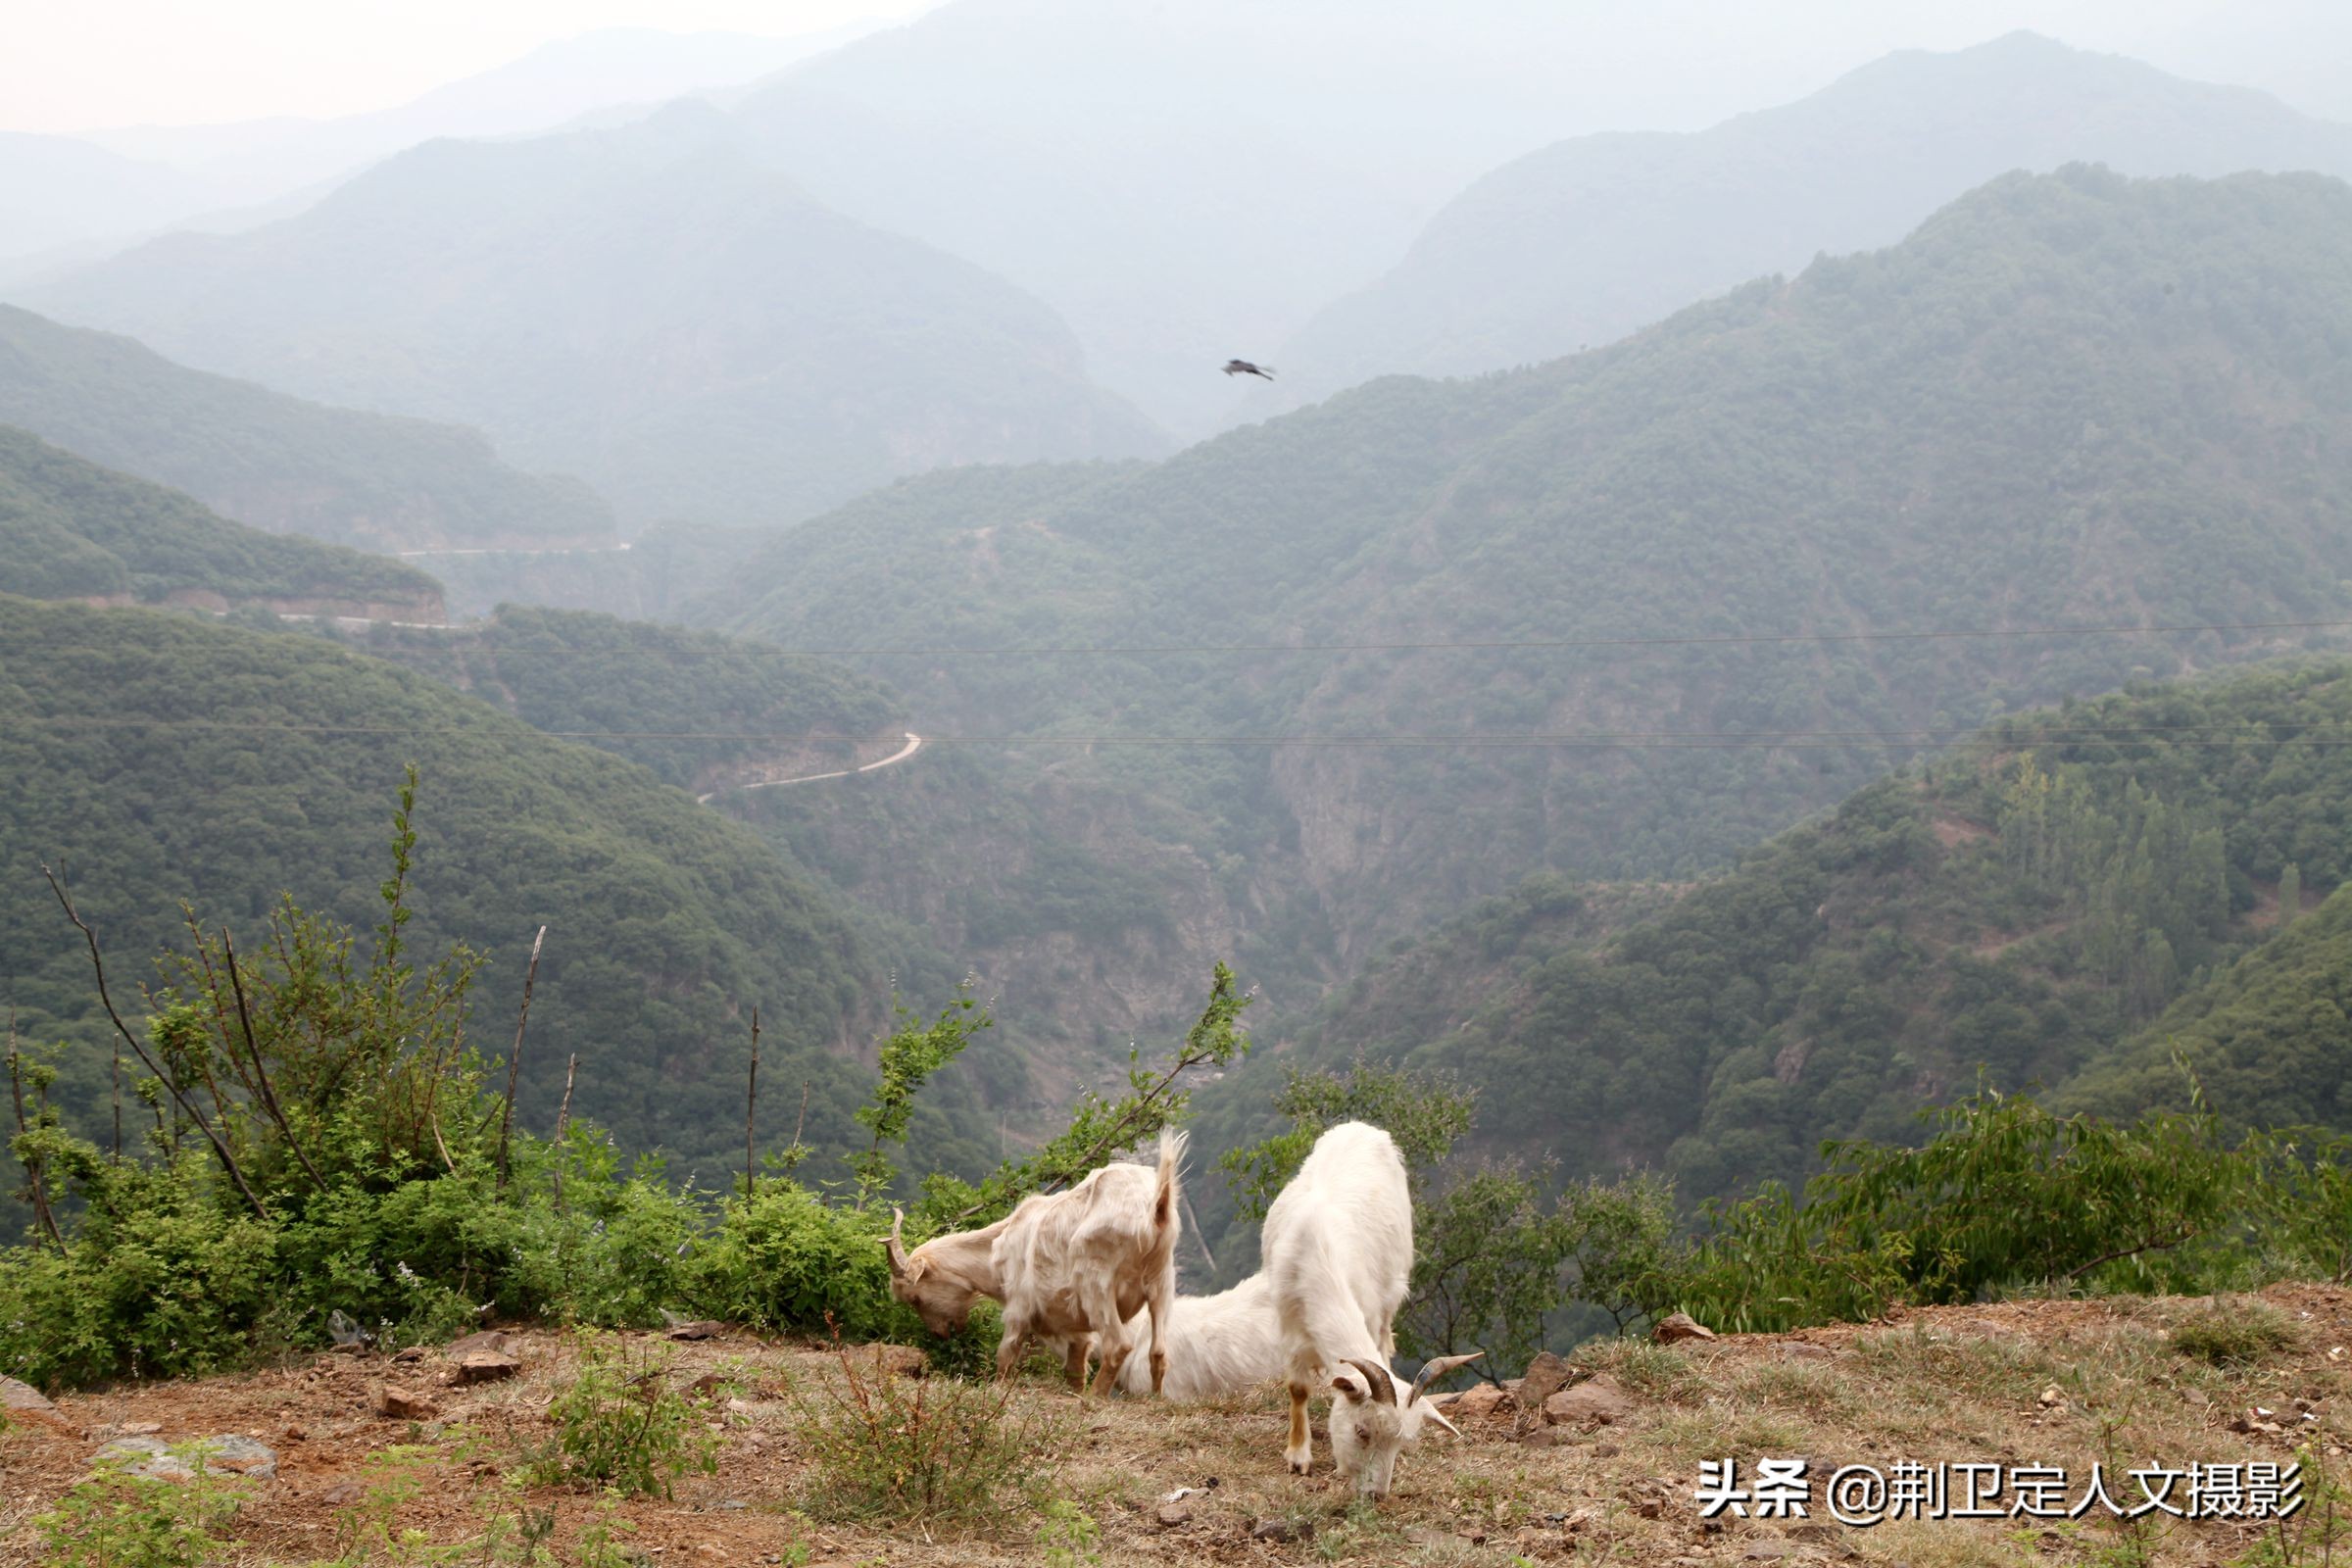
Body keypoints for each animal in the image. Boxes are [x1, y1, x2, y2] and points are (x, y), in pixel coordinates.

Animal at [884, 1128, 1185, 1400]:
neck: (996, 1253)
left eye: (915, 1298)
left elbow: (1006, 1353)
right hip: (1162, 1281)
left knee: (1118, 1345)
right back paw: (1154, 1398)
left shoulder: (1019, 1305)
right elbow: (1075, 1366)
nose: (940, 1333)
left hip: (1096, 1283)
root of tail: (1155, 1206)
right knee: (1159, 1351)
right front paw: (1074, 1389)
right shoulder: (1075, 1328)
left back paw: (1094, 1397)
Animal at [1260, 1123, 1477, 1504]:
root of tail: (1363, 1128)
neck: (1316, 1255)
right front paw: (1299, 1456)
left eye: (1401, 1445)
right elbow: (1298, 1388)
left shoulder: (1369, 1307)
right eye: (1362, 1431)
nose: (1376, 1495)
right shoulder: (1287, 1322)